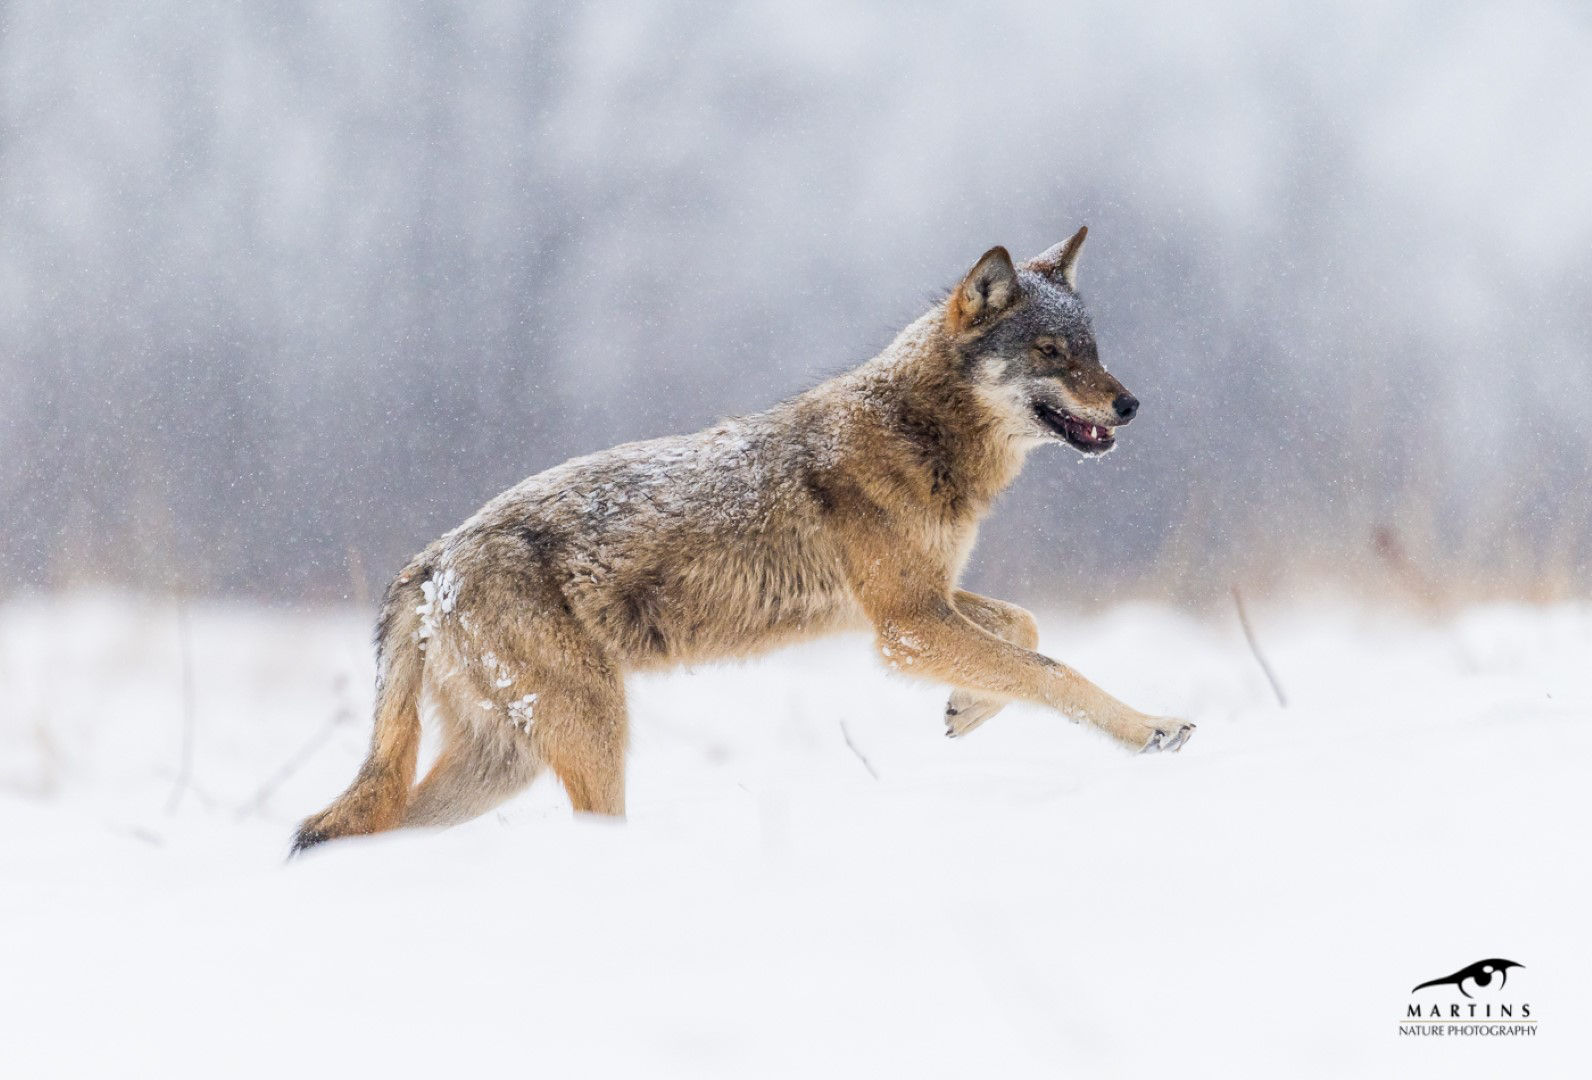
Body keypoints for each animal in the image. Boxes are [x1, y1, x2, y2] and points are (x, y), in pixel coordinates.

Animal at [292, 227, 1192, 853]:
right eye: (1051, 352)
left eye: (1095, 352)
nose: (1132, 405)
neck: (920, 433)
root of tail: (432, 558)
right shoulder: (905, 625)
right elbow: (1051, 668)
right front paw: (1150, 729)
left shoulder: (907, 607)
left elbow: (1024, 628)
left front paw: (966, 709)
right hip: (593, 733)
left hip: (505, 761)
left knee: (347, 830)